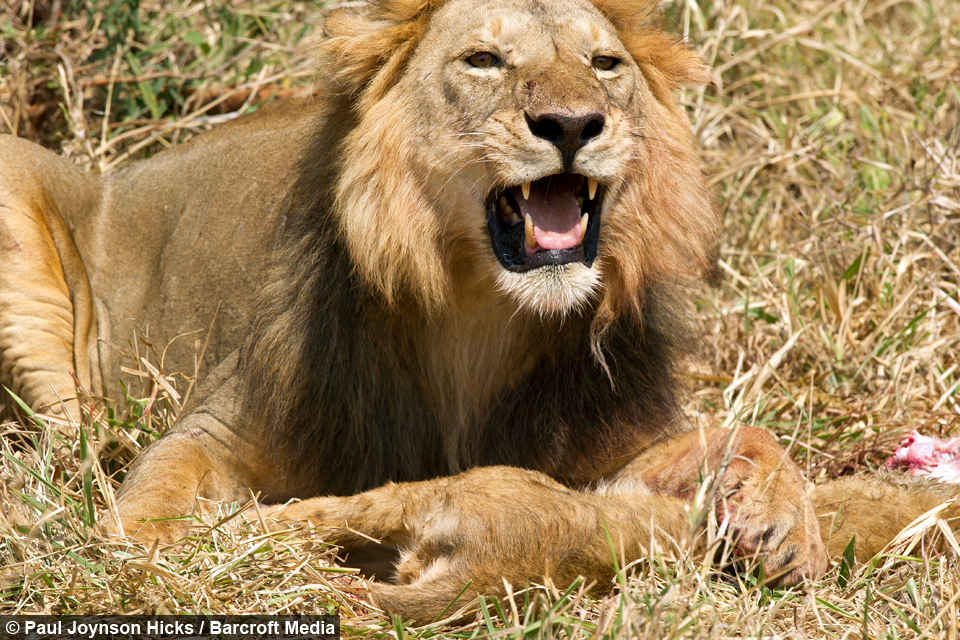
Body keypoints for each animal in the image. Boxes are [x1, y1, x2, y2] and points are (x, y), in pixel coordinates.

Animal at [1, 0, 957, 625]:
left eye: (605, 64)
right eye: (484, 61)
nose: (572, 122)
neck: (476, 317)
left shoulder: (608, 446)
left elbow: (741, 435)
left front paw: (781, 518)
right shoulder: (223, 431)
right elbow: (161, 506)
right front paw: (168, 544)